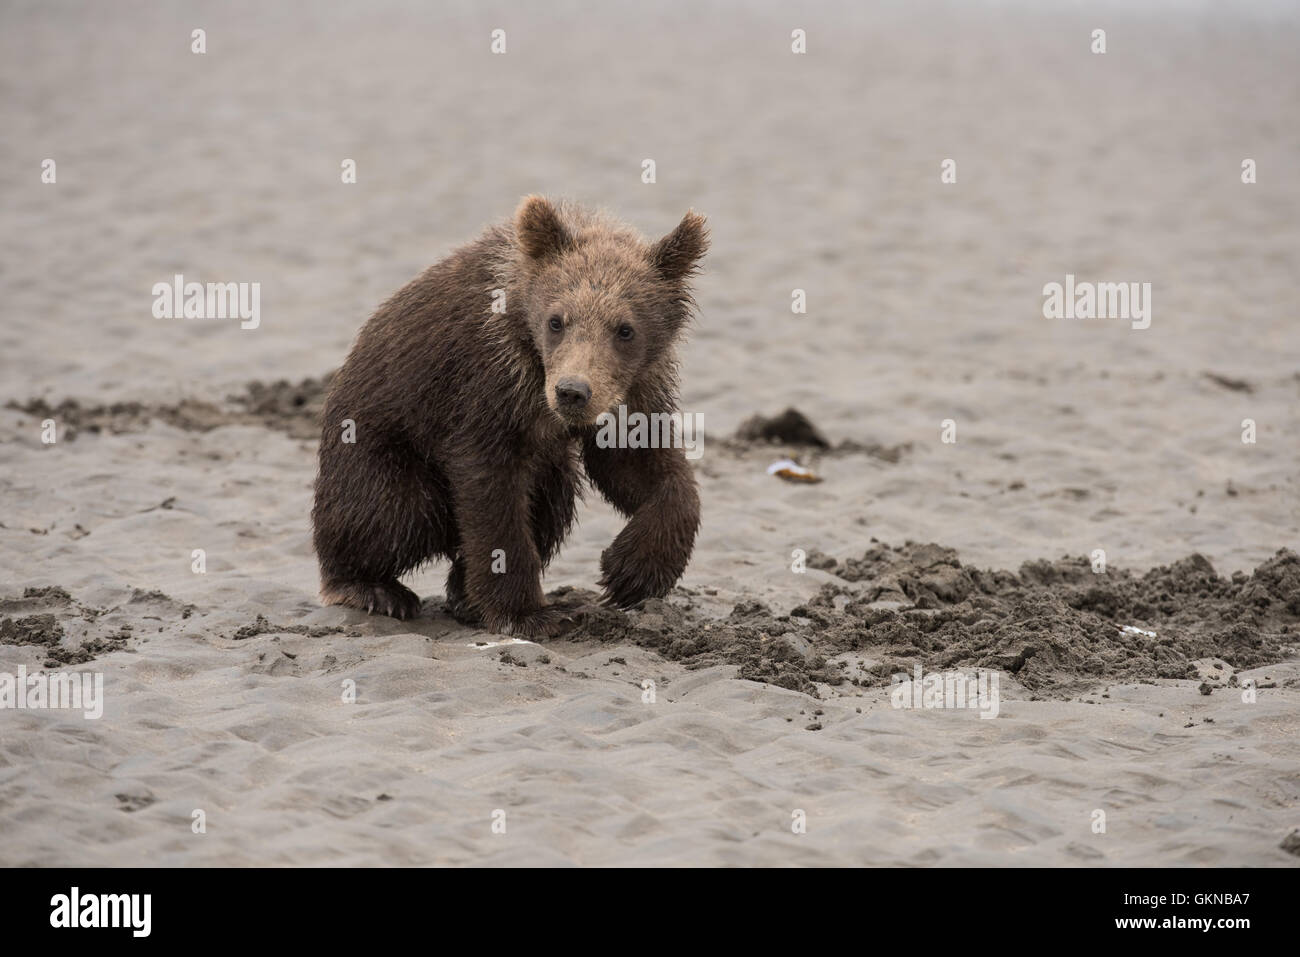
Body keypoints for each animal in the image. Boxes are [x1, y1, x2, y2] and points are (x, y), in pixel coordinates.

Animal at [311, 196, 707, 636]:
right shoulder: (484, 385)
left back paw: (462, 595)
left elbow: (640, 464)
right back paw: (374, 589)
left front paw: (631, 571)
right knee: (393, 510)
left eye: (625, 329)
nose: (572, 391)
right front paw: (528, 614)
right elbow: (492, 495)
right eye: (556, 320)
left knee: (552, 500)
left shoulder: (632, 388)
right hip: (381, 442)